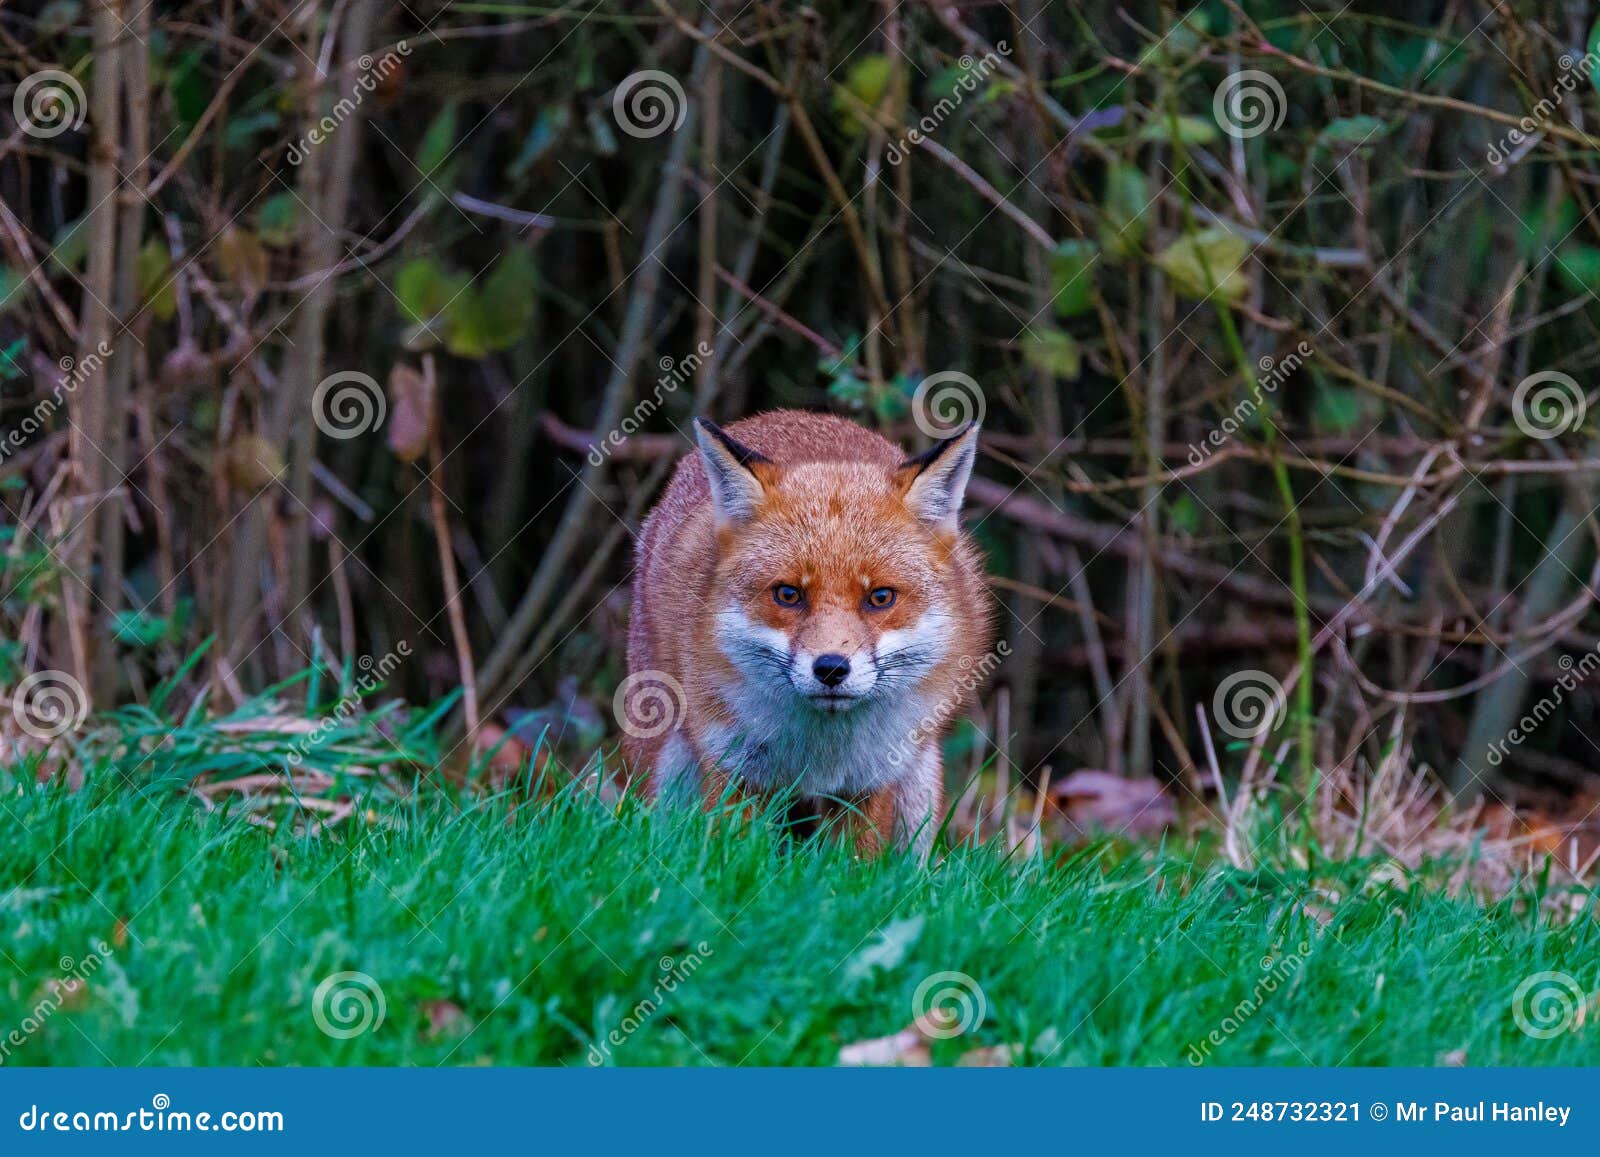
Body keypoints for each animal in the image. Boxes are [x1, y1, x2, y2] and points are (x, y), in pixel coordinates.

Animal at [623, 409, 993, 856]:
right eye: (788, 594)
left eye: (880, 597)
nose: (831, 669)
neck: (820, 750)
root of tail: (788, 414)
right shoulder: (732, 764)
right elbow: (732, 854)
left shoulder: (869, 780)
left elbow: (856, 862)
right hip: (666, 762)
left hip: (918, 790)